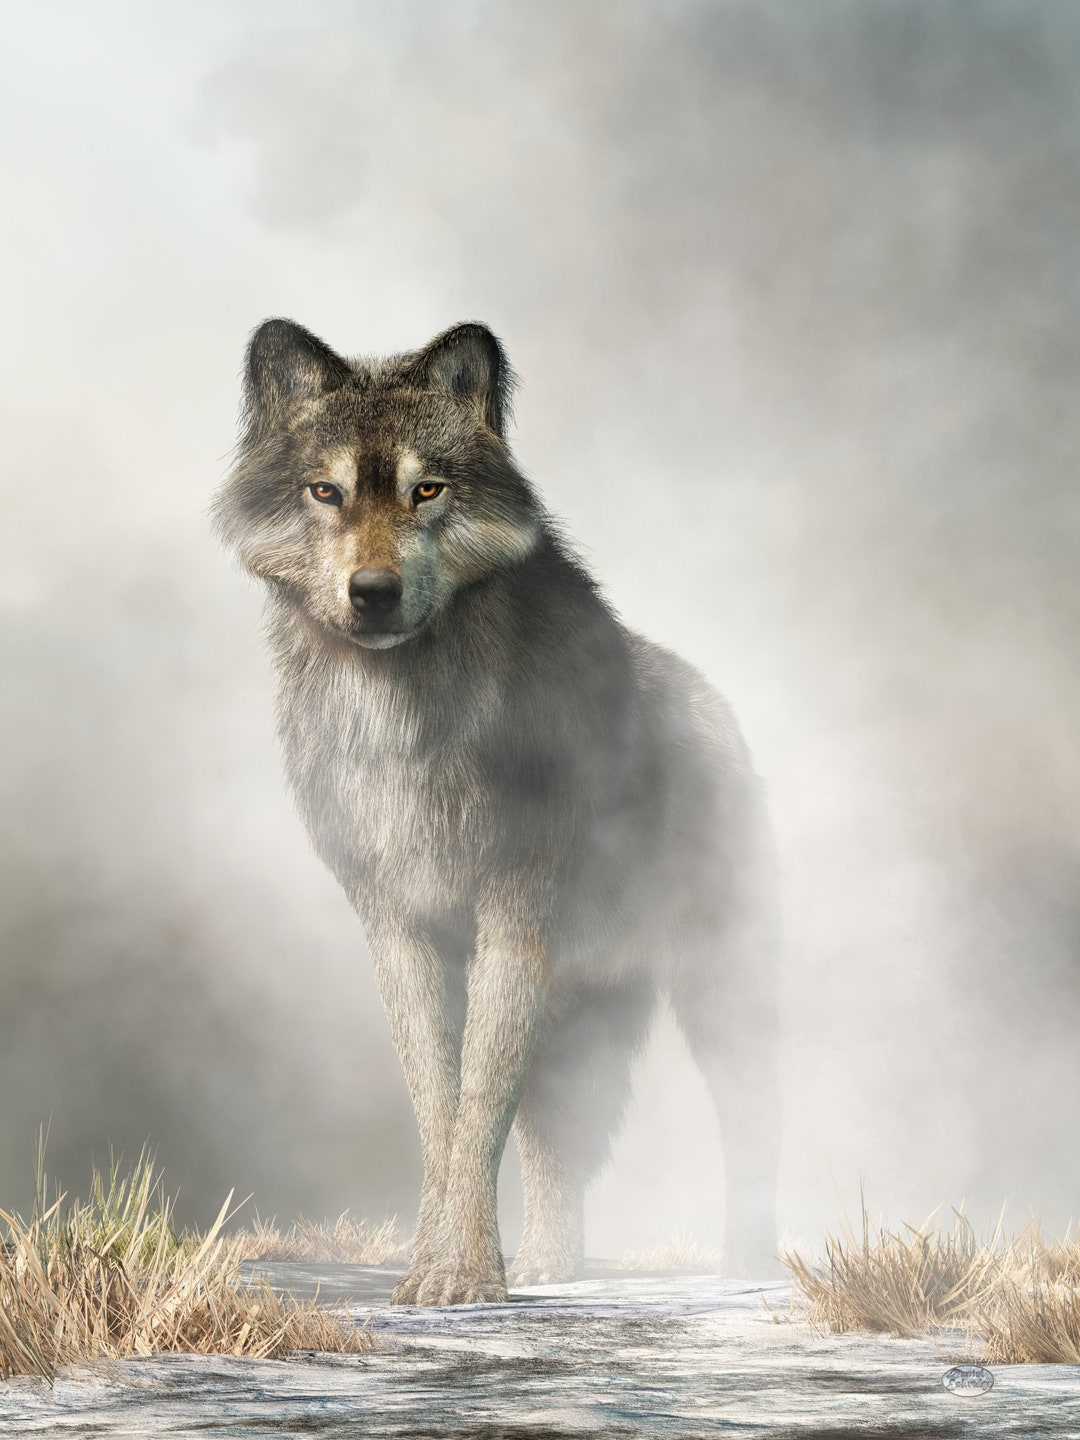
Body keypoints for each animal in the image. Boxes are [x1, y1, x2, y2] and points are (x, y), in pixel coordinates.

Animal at [213, 318, 781, 1305]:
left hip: (719, 992)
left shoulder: (514, 918)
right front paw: (435, 1268)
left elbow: (480, 1104)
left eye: (426, 489)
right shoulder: (394, 926)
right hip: (580, 1015)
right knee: (562, 1137)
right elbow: (441, 1110)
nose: (373, 592)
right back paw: (555, 1267)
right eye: (325, 490)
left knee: (754, 1120)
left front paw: (464, 1277)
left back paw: (750, 1265)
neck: (403, 720)